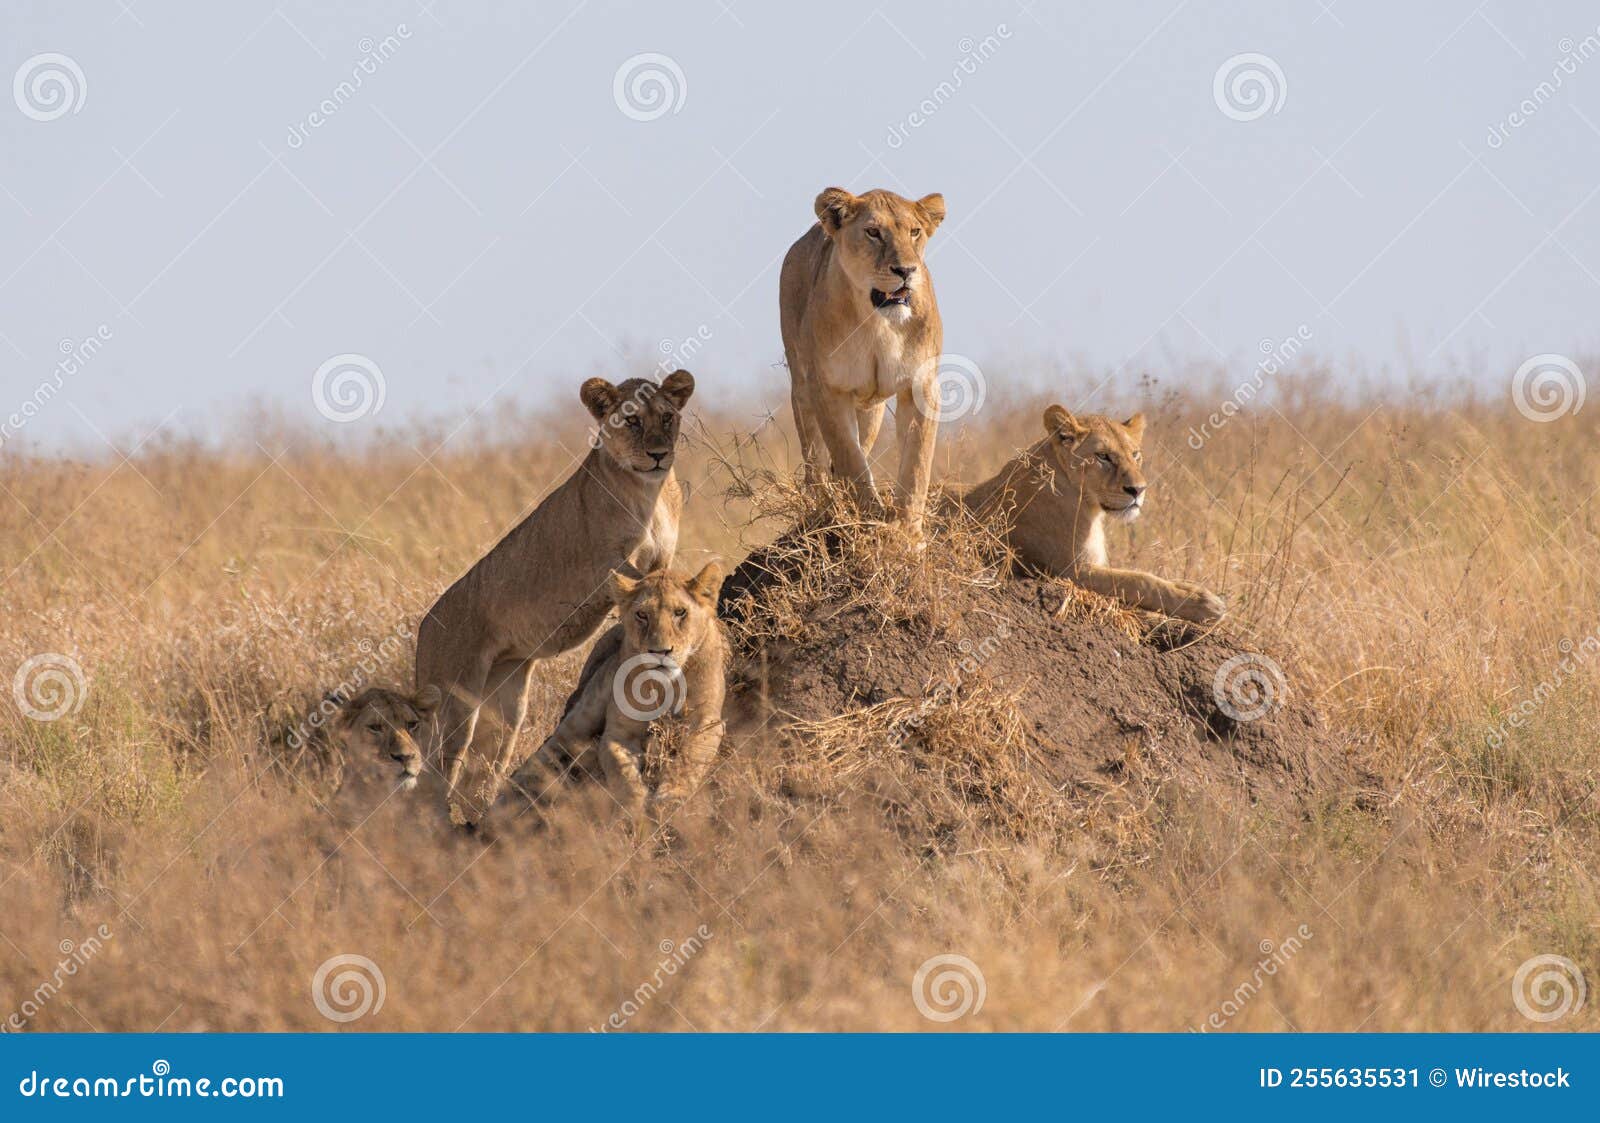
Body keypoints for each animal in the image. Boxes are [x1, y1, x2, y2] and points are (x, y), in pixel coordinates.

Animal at [416, 370, 694, 823]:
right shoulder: (606, 564)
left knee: (482, 766)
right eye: (632, 420)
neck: (649, 491)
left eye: (667, 418)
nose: (657, 454)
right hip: (456, 699)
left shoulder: (660, 557)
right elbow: (637, 588)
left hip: (506, 701)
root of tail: (423, 629)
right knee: (438, 769)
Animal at [508, 562, 727, 824]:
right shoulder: (618, 733)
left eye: (680, 612)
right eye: (642, 615)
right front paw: (635, 810)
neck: (666, 686)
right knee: (543, 756)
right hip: (580, 718)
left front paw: (671, 797)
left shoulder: (708, 722)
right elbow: (622, 772)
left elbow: (688, 760)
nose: (660, 651)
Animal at [779, 186, 947, 534]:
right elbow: (850, 459)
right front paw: (870, 518)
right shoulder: (827, 389)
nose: (906, 271)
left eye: (915, 232)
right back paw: (822, 508)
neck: (877, 321)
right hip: (802, 389)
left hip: (871, 409)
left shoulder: (921, 385)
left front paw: (907, 531)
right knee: (815, 462)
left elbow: (916, 463)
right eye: (873, 232)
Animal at [951, 406, 1226, 625]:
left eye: (1135, 454)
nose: (1138, 490)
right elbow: (1138, 580)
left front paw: (1192, 589)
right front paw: (1205, 603)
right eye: (1103, 456)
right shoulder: (1072, 572)